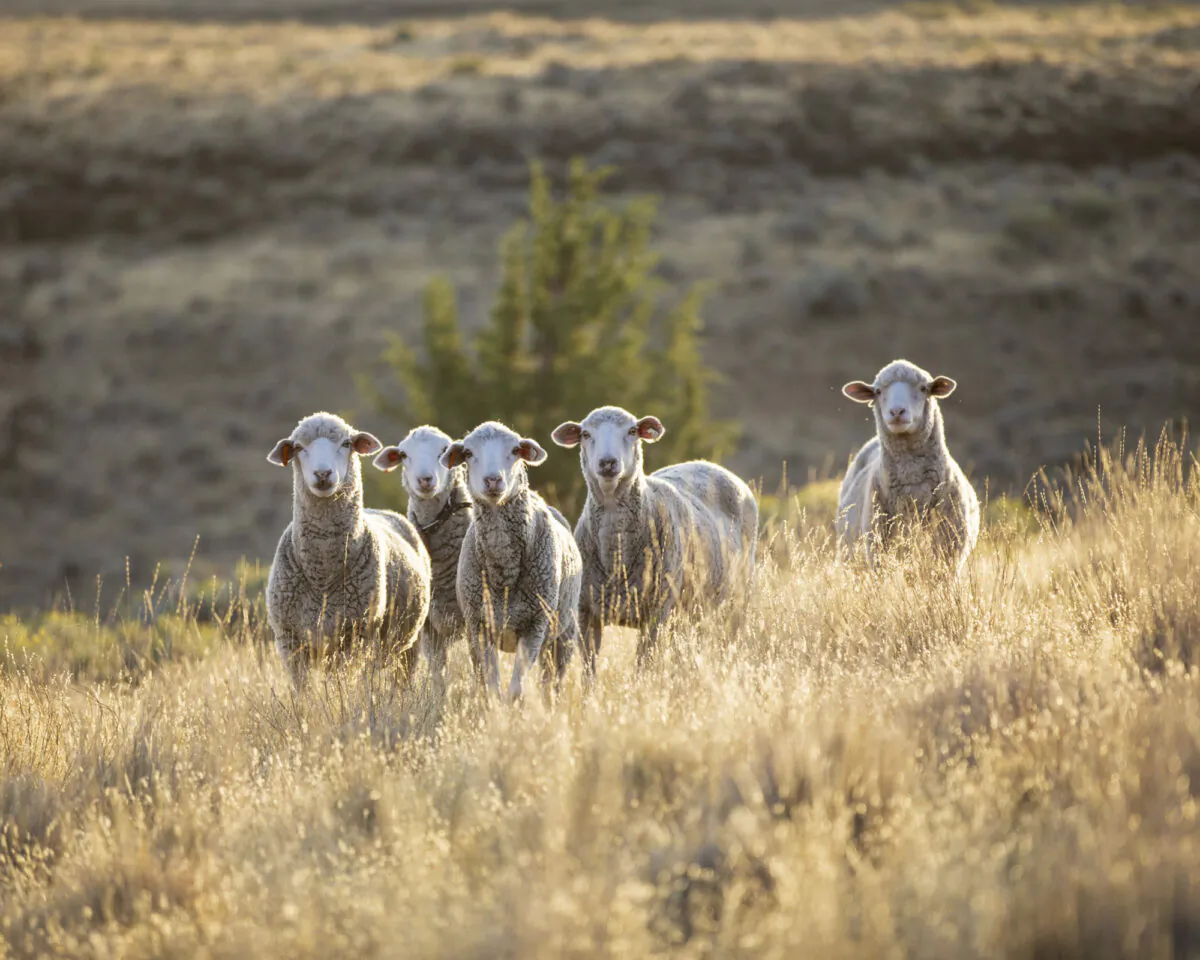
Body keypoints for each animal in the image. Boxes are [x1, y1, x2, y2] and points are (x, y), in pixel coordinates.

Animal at [265, 412, 432, 688]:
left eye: (346, 444)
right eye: (298, 447)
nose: (323, 473)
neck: (322, 573)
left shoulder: (355, 636)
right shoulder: (291, 642)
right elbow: (304, 691)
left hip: (410, 642)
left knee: (399, 680)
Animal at [440, 420, 582, 703]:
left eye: (516, 450)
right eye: (468, 453)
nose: (493, 479)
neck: (503, 570)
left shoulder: (535, 625)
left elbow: (516, 690)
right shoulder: (480, 625)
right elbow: (492, 686)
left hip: (564, 634)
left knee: (552, 683)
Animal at [551, 406, 759, 671]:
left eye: (632, 431)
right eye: (585, 434)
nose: (608, 462)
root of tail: (708, 464)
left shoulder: (656, 612)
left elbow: (643, 664)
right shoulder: (585, 612)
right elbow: (589, 668)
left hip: (739, 595)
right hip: (692, 608)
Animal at [836, 359, 980, 570]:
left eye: (923, 388)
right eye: (878, 391)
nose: (897, 411)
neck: (914, 484)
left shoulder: (948, 553)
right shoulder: (878, 549)